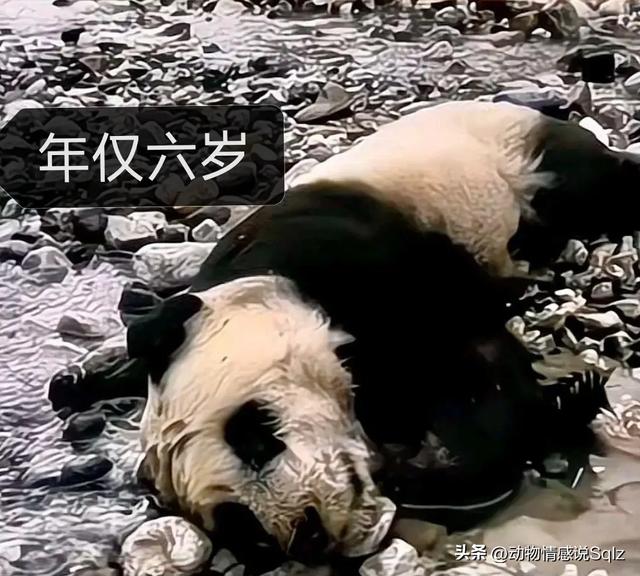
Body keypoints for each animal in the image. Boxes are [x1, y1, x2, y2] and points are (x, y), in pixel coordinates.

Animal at [127, 100, 626, 570]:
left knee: (596, 183)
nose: (308, 531)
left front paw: (564, 399)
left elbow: (463, 356)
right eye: (239, 520)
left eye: (253, 435)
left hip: (514, 165)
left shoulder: (345, 256)